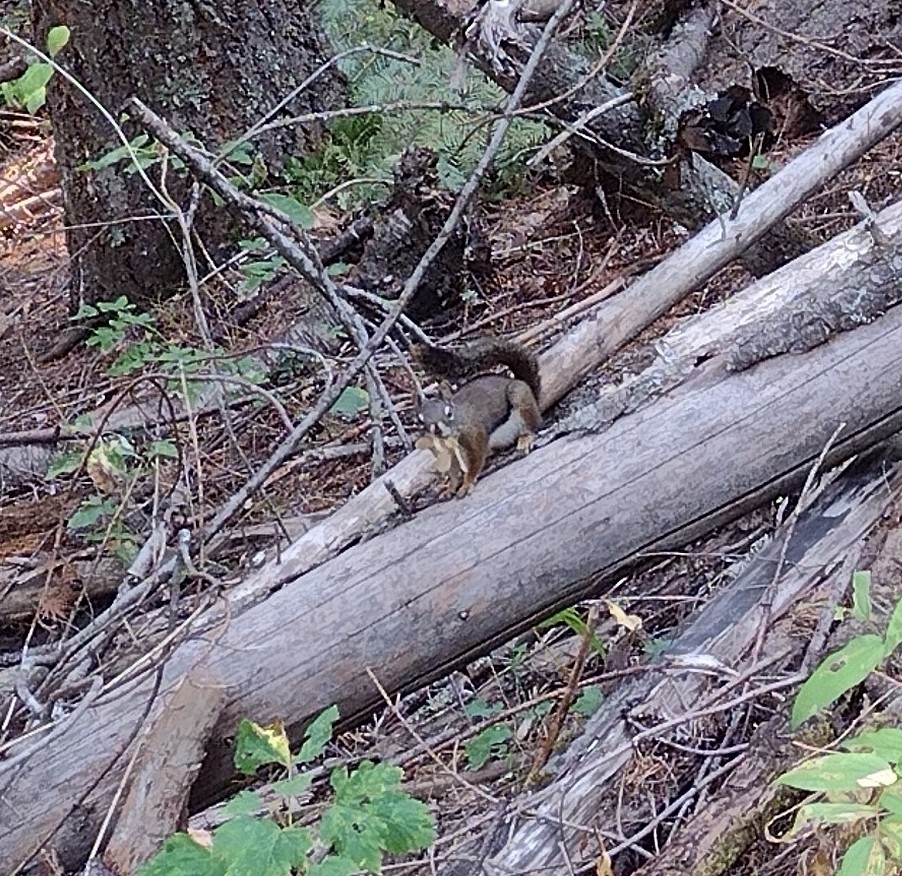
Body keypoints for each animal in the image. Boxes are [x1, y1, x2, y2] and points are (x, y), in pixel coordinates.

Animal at [413, 338, 542, 496]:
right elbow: (453, 472)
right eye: (420, 420)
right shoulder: (446, 452)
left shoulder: (474, 434)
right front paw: (450, 488)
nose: (437, 430)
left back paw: (525, 439)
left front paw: (466, 484)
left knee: (532, 425)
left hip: (519, 396)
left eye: (449, 413)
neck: (449, 439)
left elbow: (475, 461)